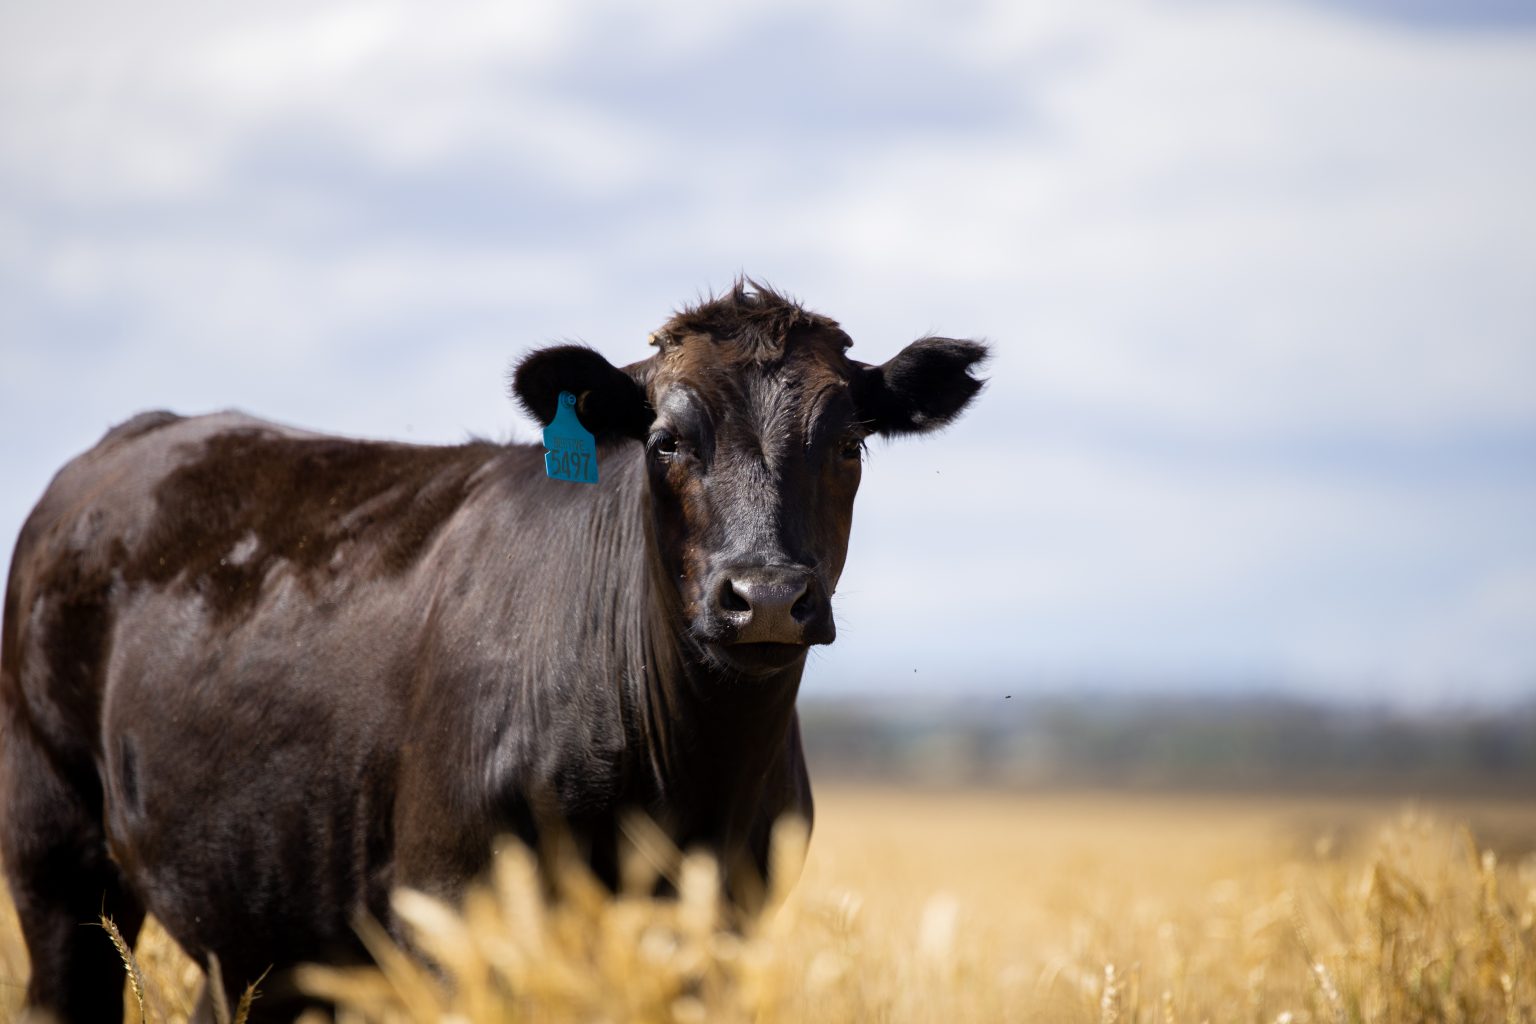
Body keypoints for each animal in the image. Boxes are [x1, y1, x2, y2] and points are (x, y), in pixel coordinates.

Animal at [0, 282, 987, 1021]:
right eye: (667, 440)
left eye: (849, 442)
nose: (766, 594)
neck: (687, 784)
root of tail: (138, 435)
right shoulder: (449, 916)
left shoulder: (726, 928)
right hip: (56, 857)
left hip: (251, 925)